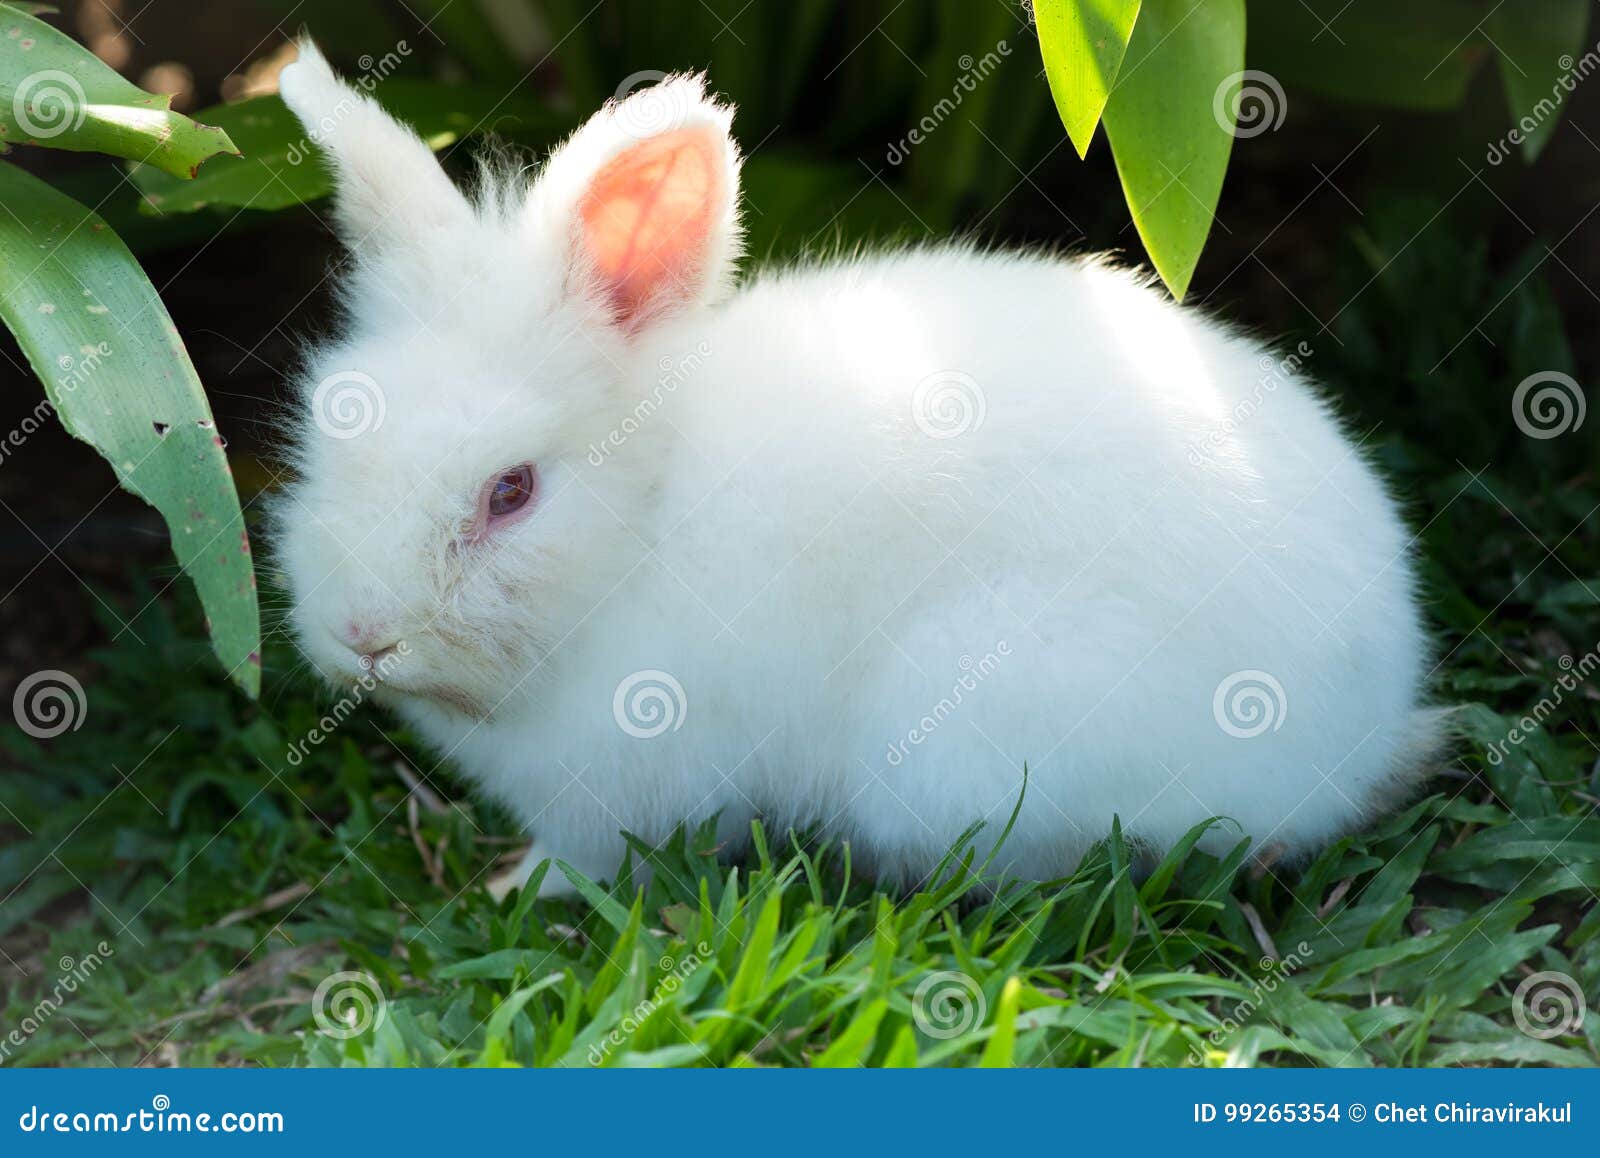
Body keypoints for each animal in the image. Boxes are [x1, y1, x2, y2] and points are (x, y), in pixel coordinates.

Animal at [272, 41, 1445, 900]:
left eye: (511, 491)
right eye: (325, 436)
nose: (363, 635)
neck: (640, 529)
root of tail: (1372, 716)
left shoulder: (632, 783)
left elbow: (592, 859)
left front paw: (518, 890)